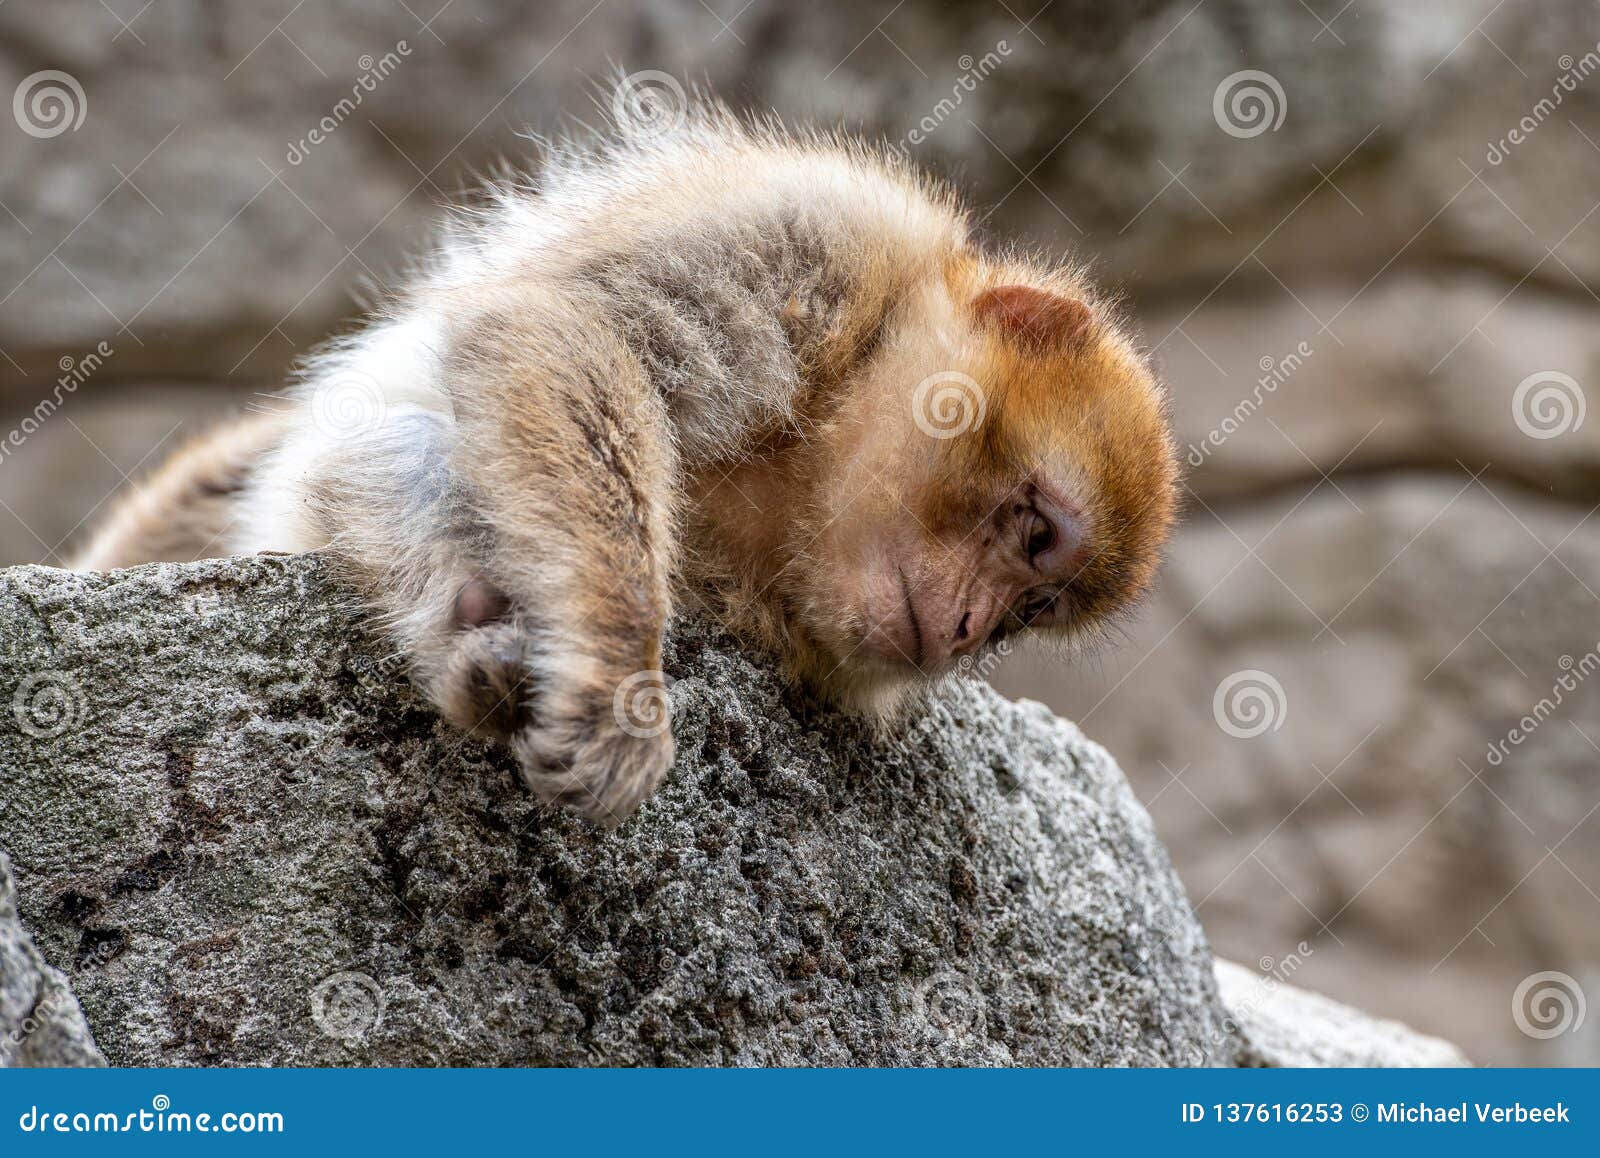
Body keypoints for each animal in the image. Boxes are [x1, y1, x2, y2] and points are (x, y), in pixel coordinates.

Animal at [70, 101, 1179, 827]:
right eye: (1033, 527)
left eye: (1030, 612)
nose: (962, 634)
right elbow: (562, 331)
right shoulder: (824, 238)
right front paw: (613, 679)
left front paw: (489, 644)